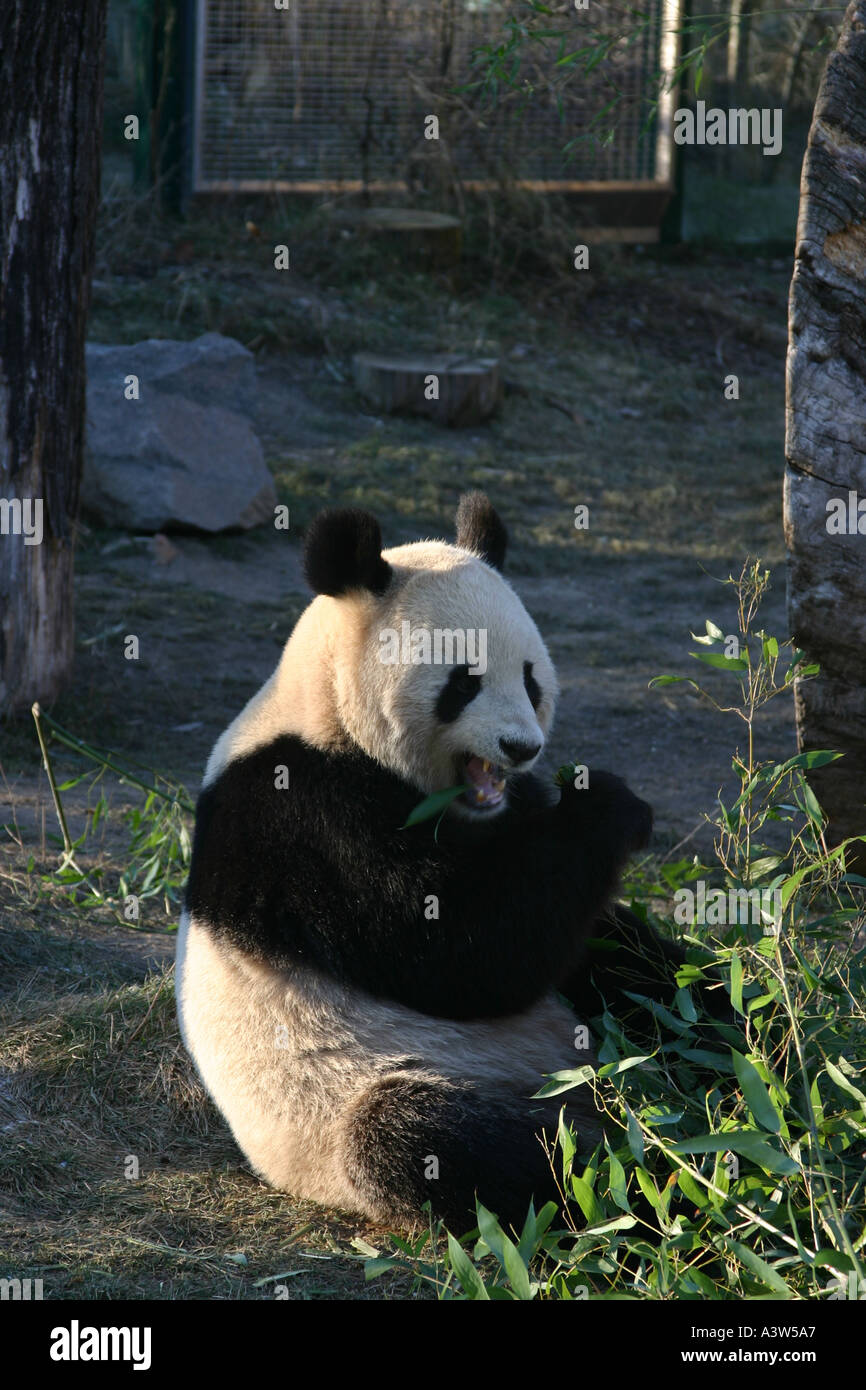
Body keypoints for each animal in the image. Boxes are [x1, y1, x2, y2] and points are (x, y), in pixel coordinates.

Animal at [176, 492, 692, 1231]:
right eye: (463, 682)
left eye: (531, 679)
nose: (522, 748)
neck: (324, 710)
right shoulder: (307, 813)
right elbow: (457, 947)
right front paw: (612, 806)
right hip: (360, 1094)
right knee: (423, 1135)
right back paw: (637, 1169)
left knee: (638, 968)